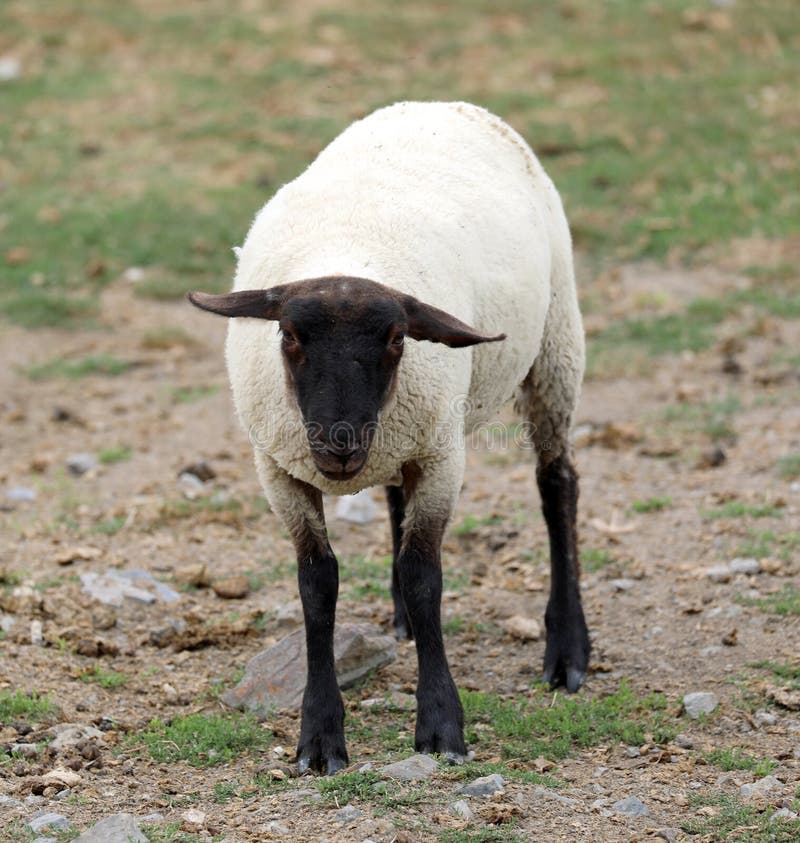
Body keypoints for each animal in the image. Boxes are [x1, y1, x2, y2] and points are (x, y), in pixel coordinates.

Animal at [188, 101, 589, 774]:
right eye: (288, 335)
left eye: (398, 338)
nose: (340, 442)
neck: (352, 249)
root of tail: (439, 103)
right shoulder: (279, 469)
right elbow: (317, 584)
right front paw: (320, 737)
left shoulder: (442, 456)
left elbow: (425, 575)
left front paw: (441, 725)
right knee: (396, 497)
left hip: (555, 344)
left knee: (557, 486)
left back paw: (567, 651)